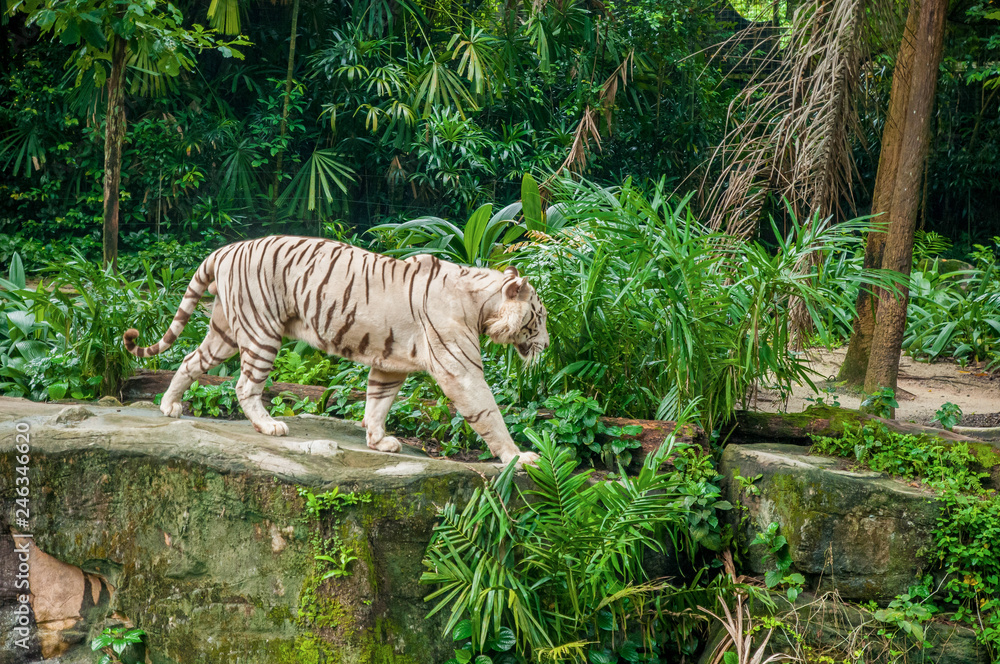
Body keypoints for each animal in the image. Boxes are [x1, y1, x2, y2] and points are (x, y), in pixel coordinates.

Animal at [123, 236, 548, 466]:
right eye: (540, 317)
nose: (546, 345)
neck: (482, 304)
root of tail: (225, 250)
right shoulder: (459, 369)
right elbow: (488, 412)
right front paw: (519, 457)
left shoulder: (389, 363)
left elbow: (377, 403)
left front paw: (378, 442)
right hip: (262, 331)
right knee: (245, 386)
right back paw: (269, 425)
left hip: (225, 330)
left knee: (190, 360)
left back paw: (169, 406)